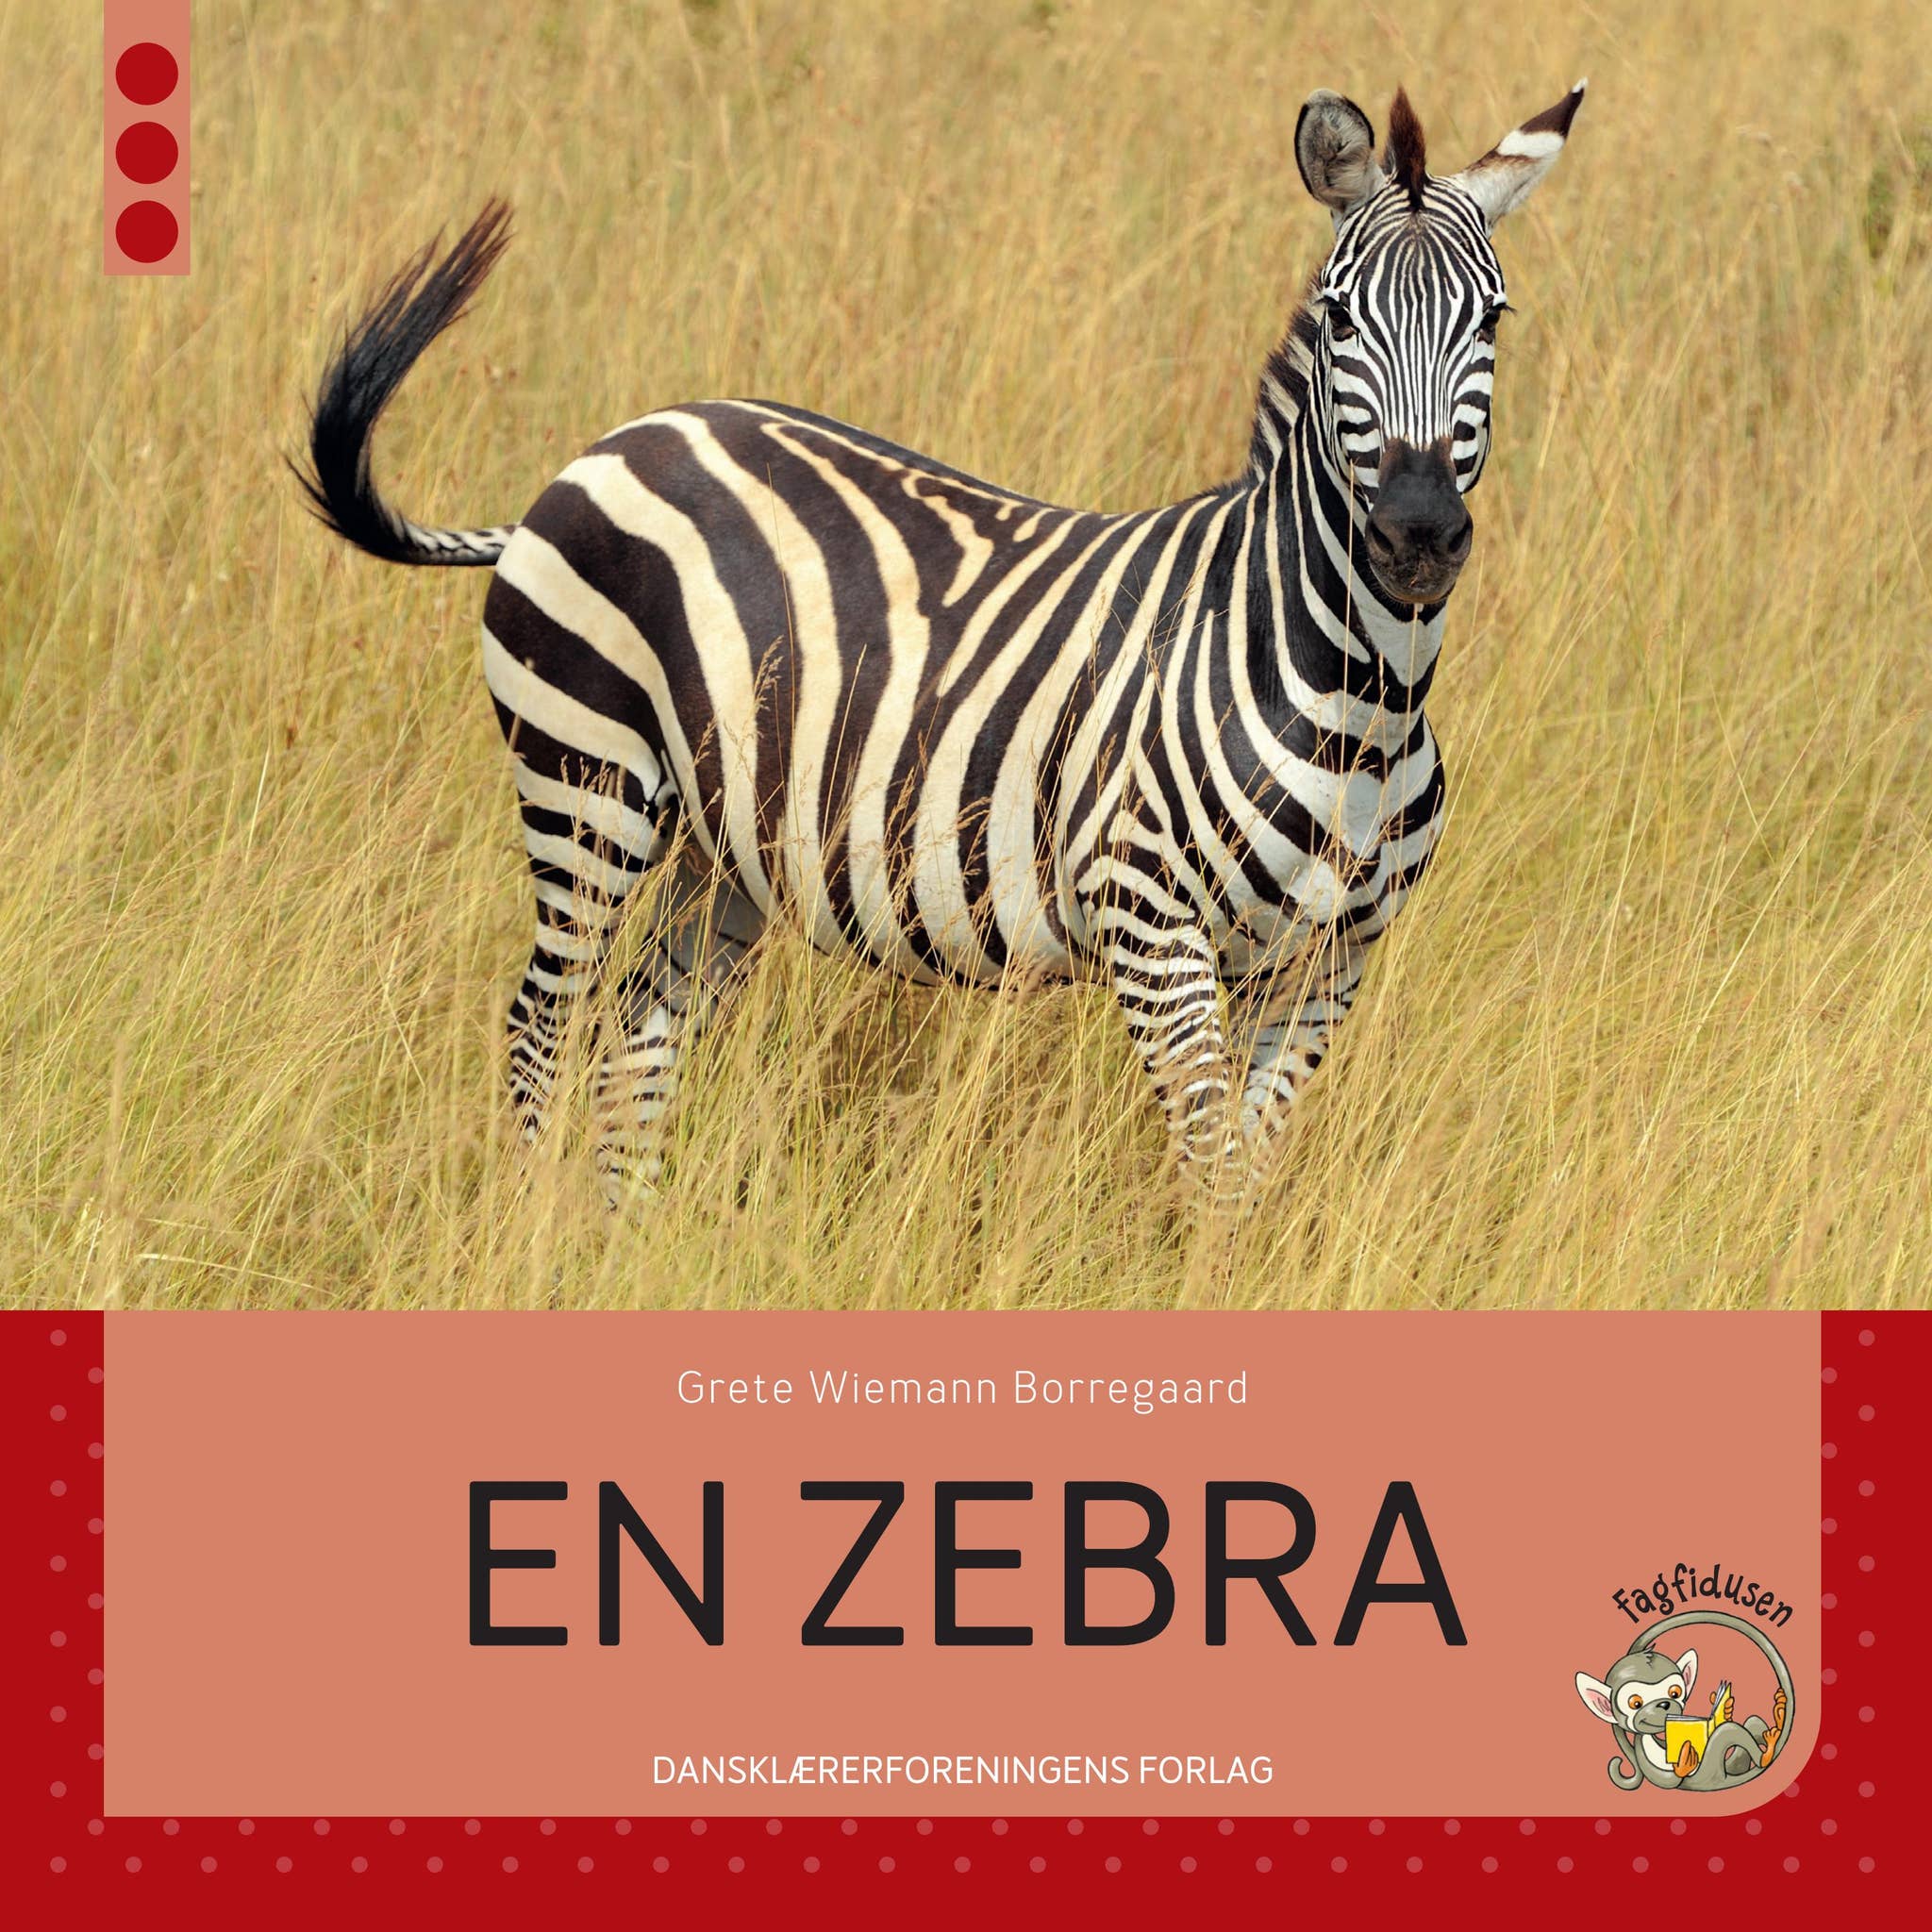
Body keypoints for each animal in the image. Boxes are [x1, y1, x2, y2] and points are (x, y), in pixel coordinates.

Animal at [297, 79, 1584, 1206]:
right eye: (1337, 318)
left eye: (1491, 318)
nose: (1415, 536)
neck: (1360, 696)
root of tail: (606, 447)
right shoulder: (1151, 923)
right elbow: (1210, 1167)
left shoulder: (1325, 966)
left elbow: (1244, 1177)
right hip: (586, 785)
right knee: (539, 1025)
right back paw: (532, 1241)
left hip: (721, 852)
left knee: (631, 1047)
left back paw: (627, 1249)